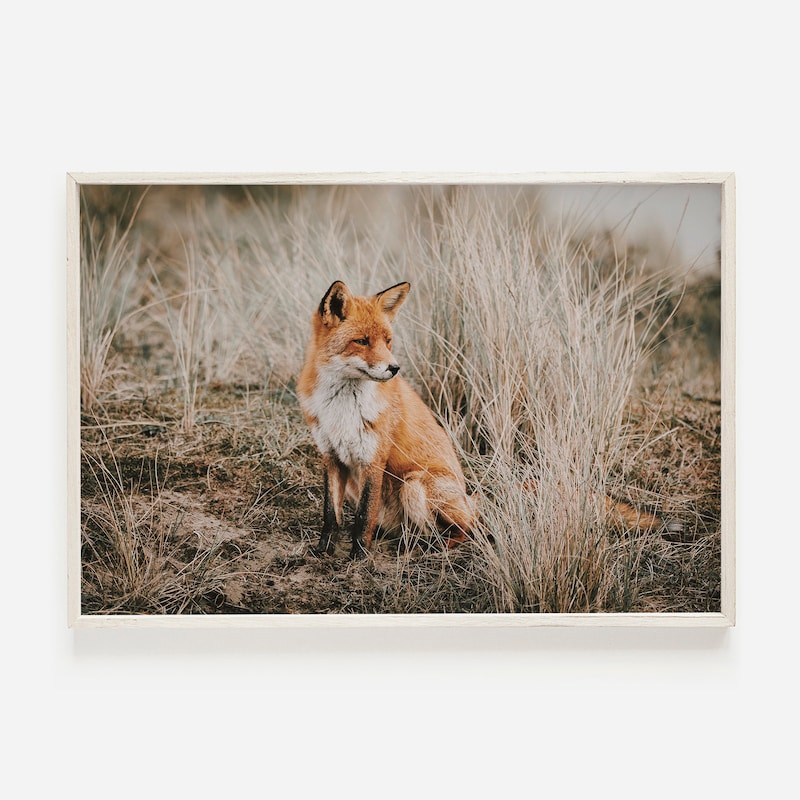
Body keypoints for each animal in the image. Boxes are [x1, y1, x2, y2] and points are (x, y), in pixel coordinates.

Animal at [298, 280, 668, 560]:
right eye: (361, 341)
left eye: (388, 341)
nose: (394, 368)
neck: (342, 406)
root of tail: (468, 497)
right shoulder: (331, 456)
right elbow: (331, 515)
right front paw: (323, 551)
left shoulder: (373, 459)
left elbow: (363, 518)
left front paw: (359, 556)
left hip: (417, 484)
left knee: (473, 531)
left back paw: (434, 547)